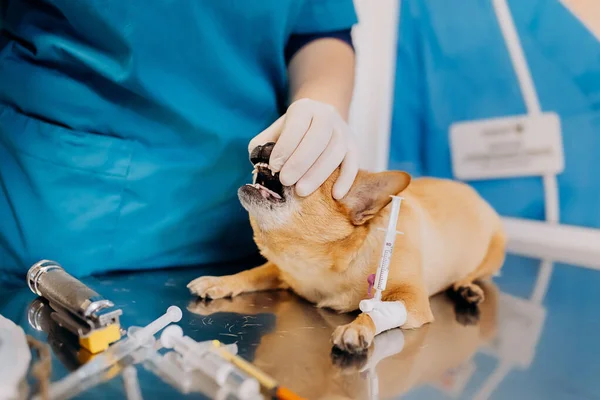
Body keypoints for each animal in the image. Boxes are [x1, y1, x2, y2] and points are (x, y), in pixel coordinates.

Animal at [189, 143, 506, 354]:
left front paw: (358, 327)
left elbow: (375, 312)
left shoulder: (412, 299)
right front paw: (219, 282)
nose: (266, 144)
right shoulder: (281, 271)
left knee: (474, 274)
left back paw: (467, 289)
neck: (324, 264)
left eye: (311, 164)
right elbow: (252, 273)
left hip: (495, 251)